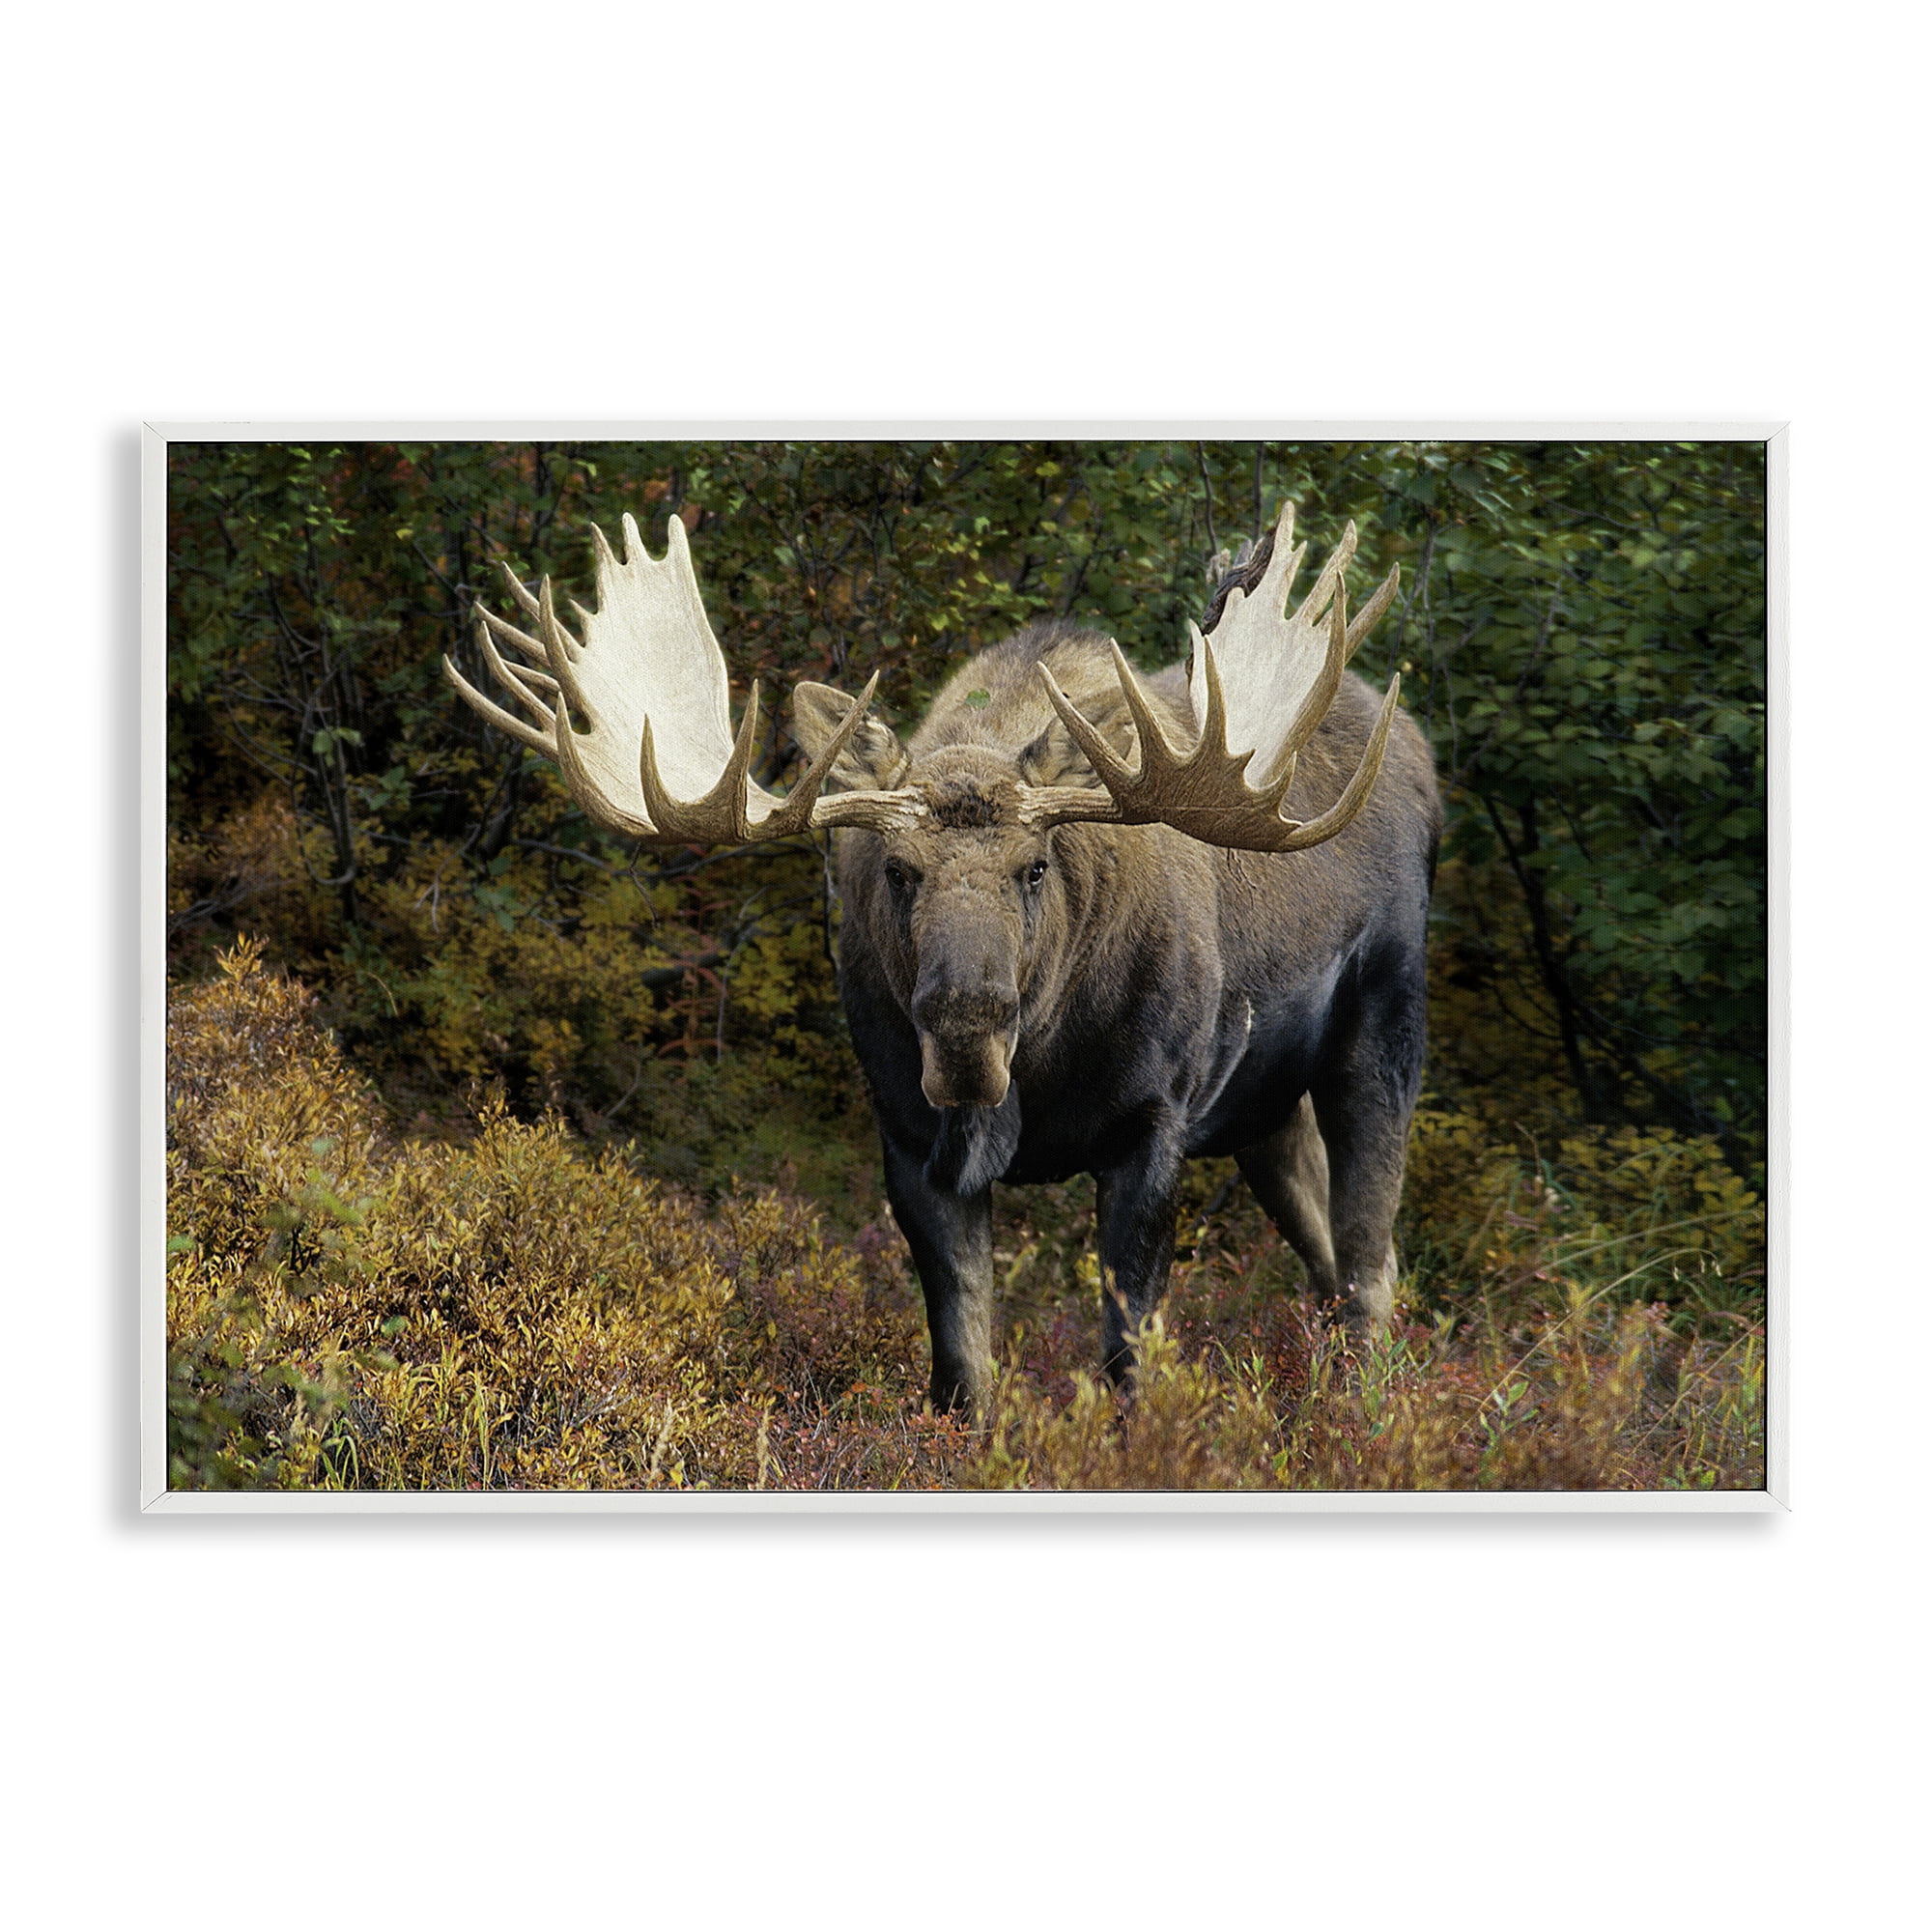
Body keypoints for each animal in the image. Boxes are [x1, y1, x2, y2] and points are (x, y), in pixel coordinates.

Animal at [446, 501, 1441, 1414]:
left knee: (1371, 1259)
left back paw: (1366, 1413)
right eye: (897, 869)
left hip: (1382, 1023)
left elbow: (1129, 1360)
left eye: (1036, 866)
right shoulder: (908, 1138)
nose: (967, 1032)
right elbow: (962, 1368)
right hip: (1262, 1109)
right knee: (1330, 1253)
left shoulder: (1153, 1123)